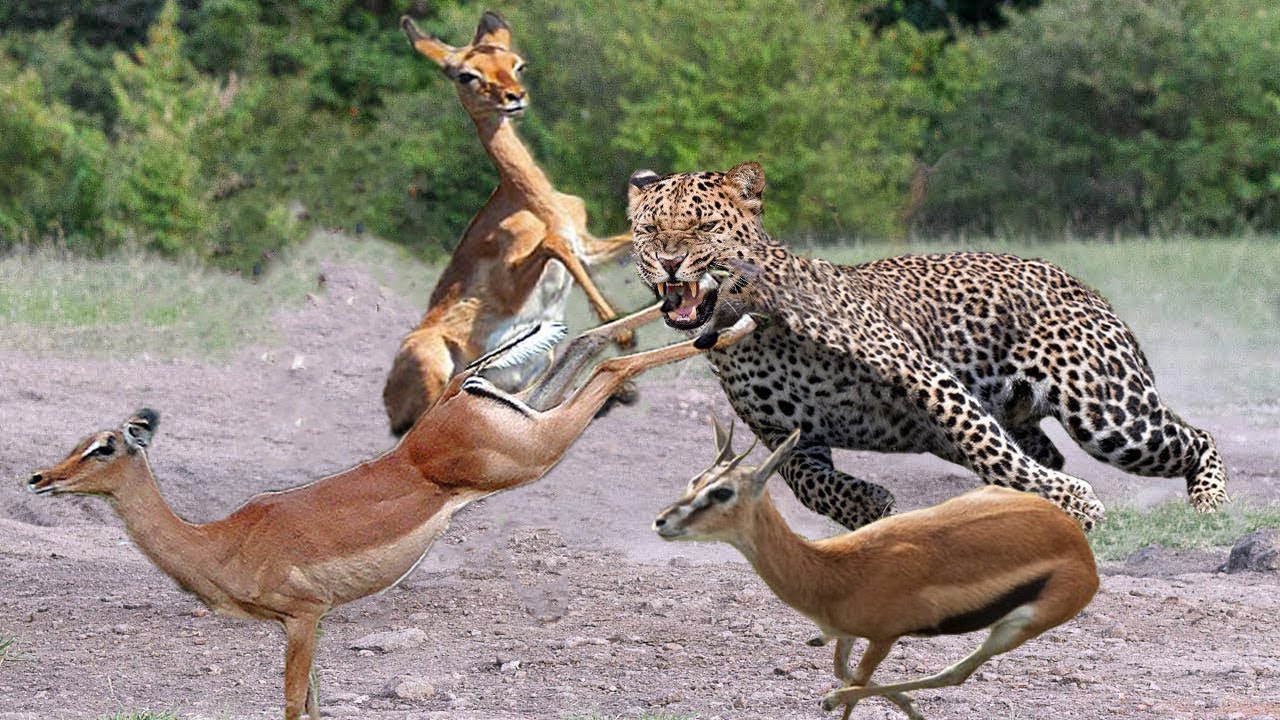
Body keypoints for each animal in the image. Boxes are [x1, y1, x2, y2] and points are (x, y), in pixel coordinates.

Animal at [27, 304, 757, 720]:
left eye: (104, 445)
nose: (39, 478)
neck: (220, 542)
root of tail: (452, 400)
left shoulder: (303, 618)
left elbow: (293, 706)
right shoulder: (305, 626)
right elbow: (315, 706)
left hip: (535, 454)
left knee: (613, 367)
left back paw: (736, 324)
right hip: (531, 425)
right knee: (586, 345)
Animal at [385, 11, 635, 436]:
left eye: (517, 63)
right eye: (465, 74)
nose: (514, 97)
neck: (537, 203)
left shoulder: (589, 245)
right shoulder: (512, 281)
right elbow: (555, 244)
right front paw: (621, 327)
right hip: (433, 362)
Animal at [626, 161, 1229, 531]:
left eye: (704, 227)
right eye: (650, 231)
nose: (672, 262)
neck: (744, 332)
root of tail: (1076, 280)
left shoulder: (926, 376)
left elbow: (987, 449)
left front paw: (1074, 502)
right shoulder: (784, 433)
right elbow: (807, 484)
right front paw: (868, 504)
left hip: (1108, 413)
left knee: (1196, 438)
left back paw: (1211, 507)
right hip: (1032, 414)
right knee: (1046, 452)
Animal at [653, 417, 1099, 719]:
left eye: (722, 491)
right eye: (694, 480)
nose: (661, 522)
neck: (831, 571)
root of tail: (1078, 545)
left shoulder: (884, 637)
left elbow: (854, 684)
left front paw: (836, 700)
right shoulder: (849, 632)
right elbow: (841, 668)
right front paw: (898, 698)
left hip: (1016, 628)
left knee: (955, 674)